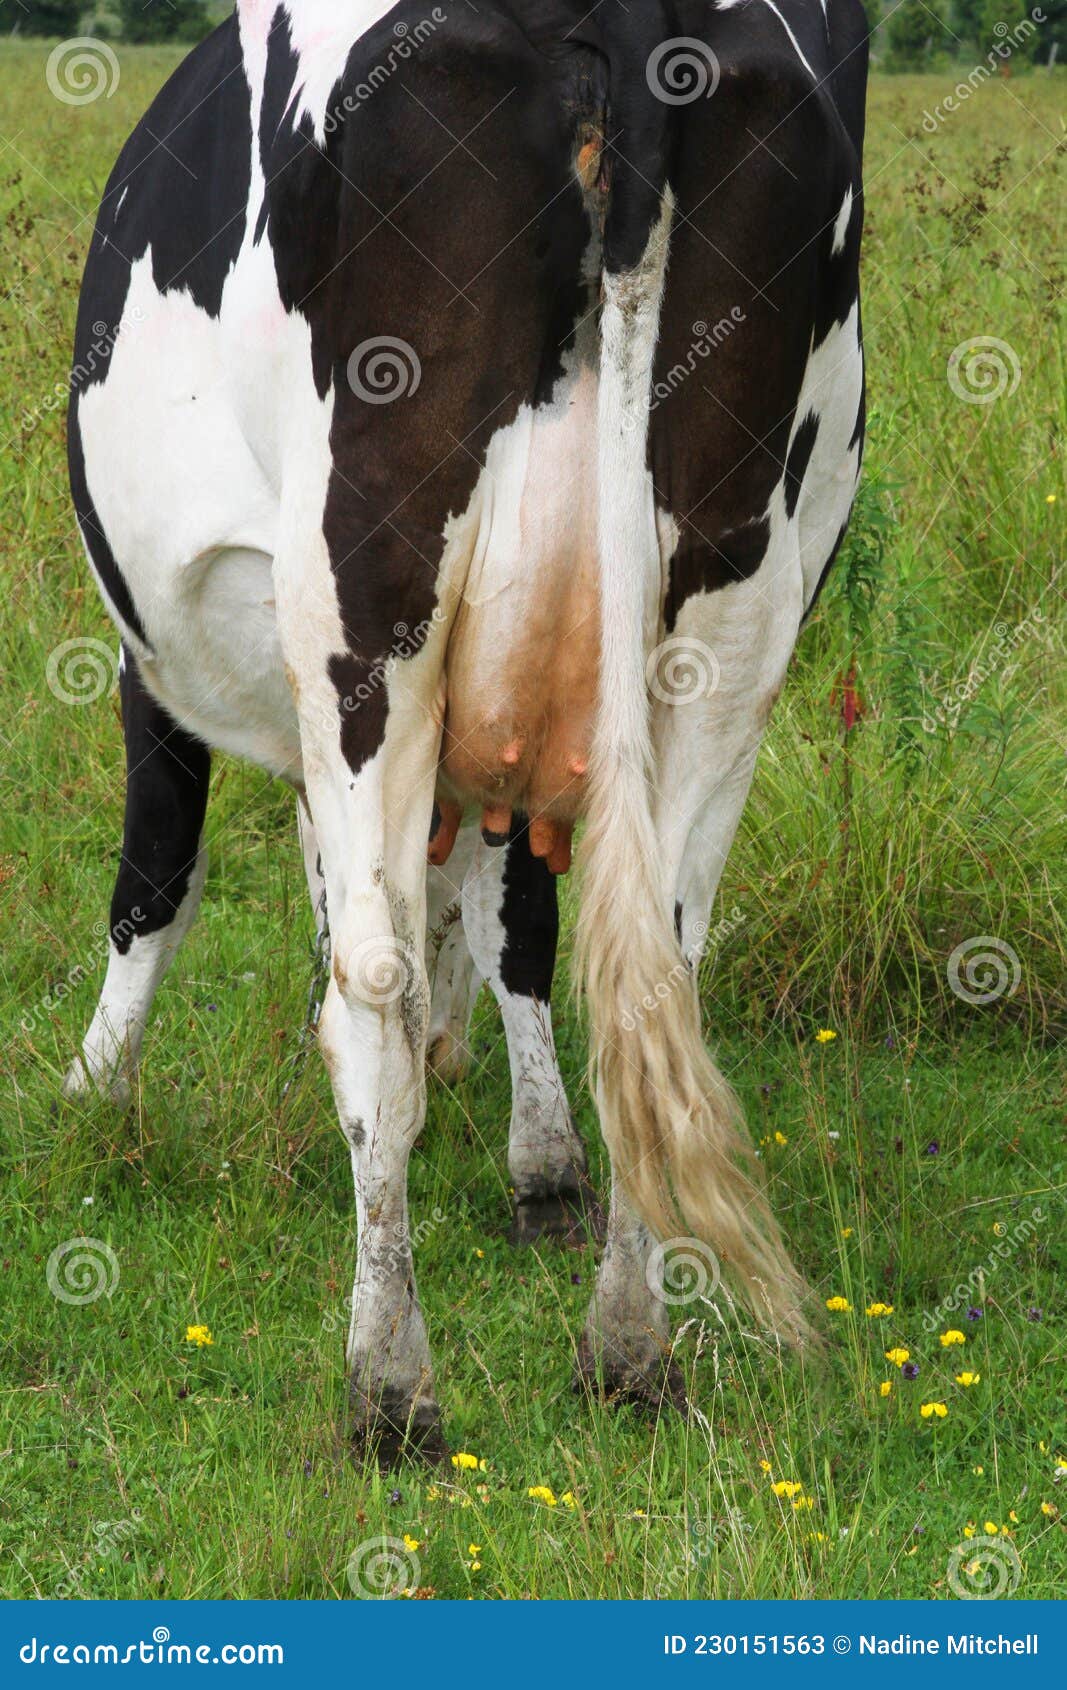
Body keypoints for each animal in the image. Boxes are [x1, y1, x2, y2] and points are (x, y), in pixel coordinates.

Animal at [65, 0, 868, 1456]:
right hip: (729, 618)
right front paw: (530, 1156)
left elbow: (162, 873)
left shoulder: (154, 655)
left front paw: (96, 1099)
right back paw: (626, 1346)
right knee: (650, 965)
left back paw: (386, 1383)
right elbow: (510, 922)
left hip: (365, 594)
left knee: (369, 982)